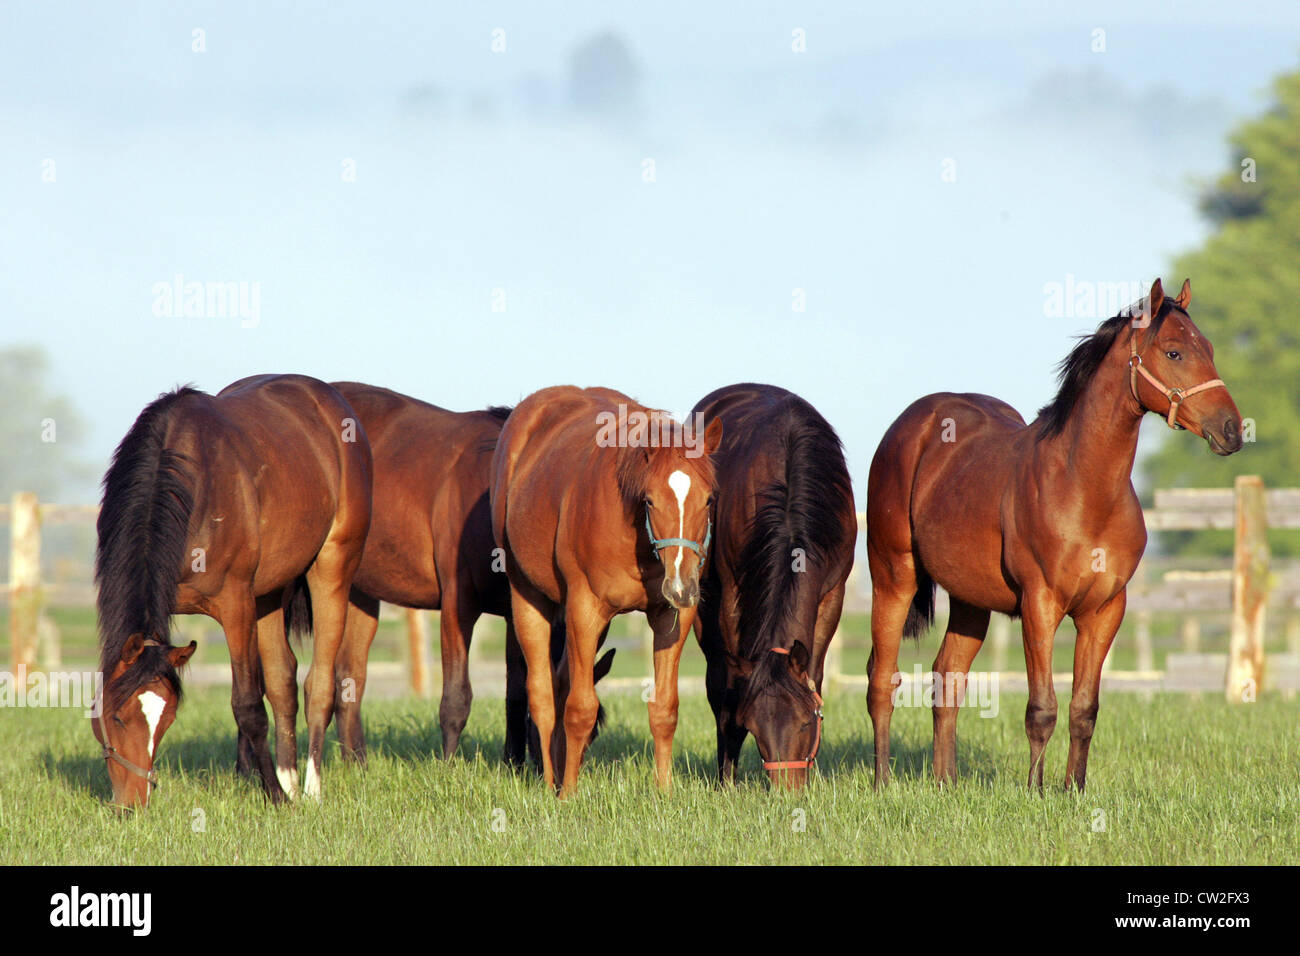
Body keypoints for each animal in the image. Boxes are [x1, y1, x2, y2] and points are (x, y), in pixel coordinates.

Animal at [93, 375, 372, 807]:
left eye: (166, 718)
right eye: (116, 717)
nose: (132, 804)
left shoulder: (235, 604)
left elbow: (248, 705)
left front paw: (275, 796)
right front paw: (274, 784)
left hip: (332, 569)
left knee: (319, 686)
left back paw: (309, 789)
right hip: (269, 595)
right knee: (283, 683)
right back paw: (290, 778)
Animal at [491, 386, 722, 795]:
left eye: (708, 499)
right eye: (650, 500)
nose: (682, 586)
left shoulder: (671, 617)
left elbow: (665, 708)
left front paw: (664, 793)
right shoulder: (584, 611)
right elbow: (580, 708)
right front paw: (567, 795)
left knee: (561, 683)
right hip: (528, 598)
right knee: (543, 695)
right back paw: (550, 781)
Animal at [690, 384, 857, 789]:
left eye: (806, 722)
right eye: (754, 726)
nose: (788, 792)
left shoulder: (833, 594)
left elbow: (816, 675)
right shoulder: (732, 595)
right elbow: (729, 693)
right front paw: (727, 778)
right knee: (715, 684)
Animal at [865, 278, 1242, 792]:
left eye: (1209, 348)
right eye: (1174, 352)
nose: (1232, 429)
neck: (1082, 489)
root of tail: (911, 424)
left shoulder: (1105, 611)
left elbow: (1085, 709)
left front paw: (1074, 790)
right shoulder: (1039, 605)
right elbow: (1041, 708)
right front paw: (1036, 791)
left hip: (970, 600)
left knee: (948, 678)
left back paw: (947, 783)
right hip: (894, 577)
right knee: (882, 679)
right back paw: (884, 781)